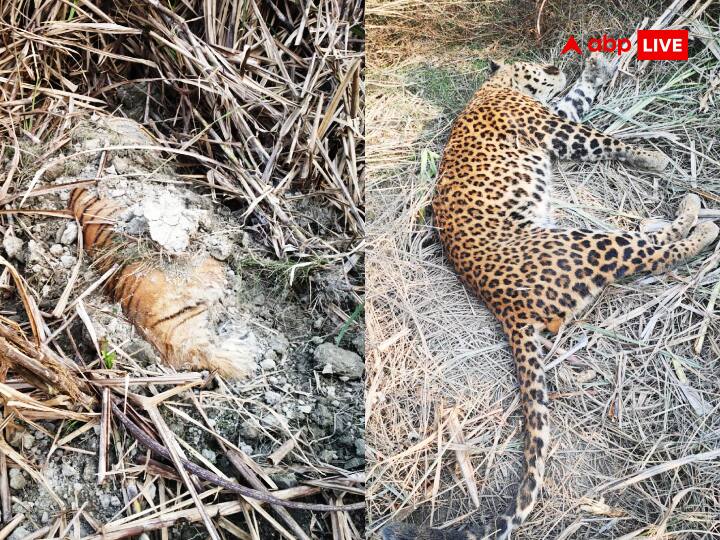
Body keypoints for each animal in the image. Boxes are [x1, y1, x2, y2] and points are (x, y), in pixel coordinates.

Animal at [382, 53, 719, 540]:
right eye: (534, 64)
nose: (556, 66)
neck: (495, 86)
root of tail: (504, 309)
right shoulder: (552, 128)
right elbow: (603, 137)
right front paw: (651, 154)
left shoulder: (558, 115)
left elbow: (578, 99)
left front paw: (595, 71)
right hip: (581, 241)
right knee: (646, 251)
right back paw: (695, 216)